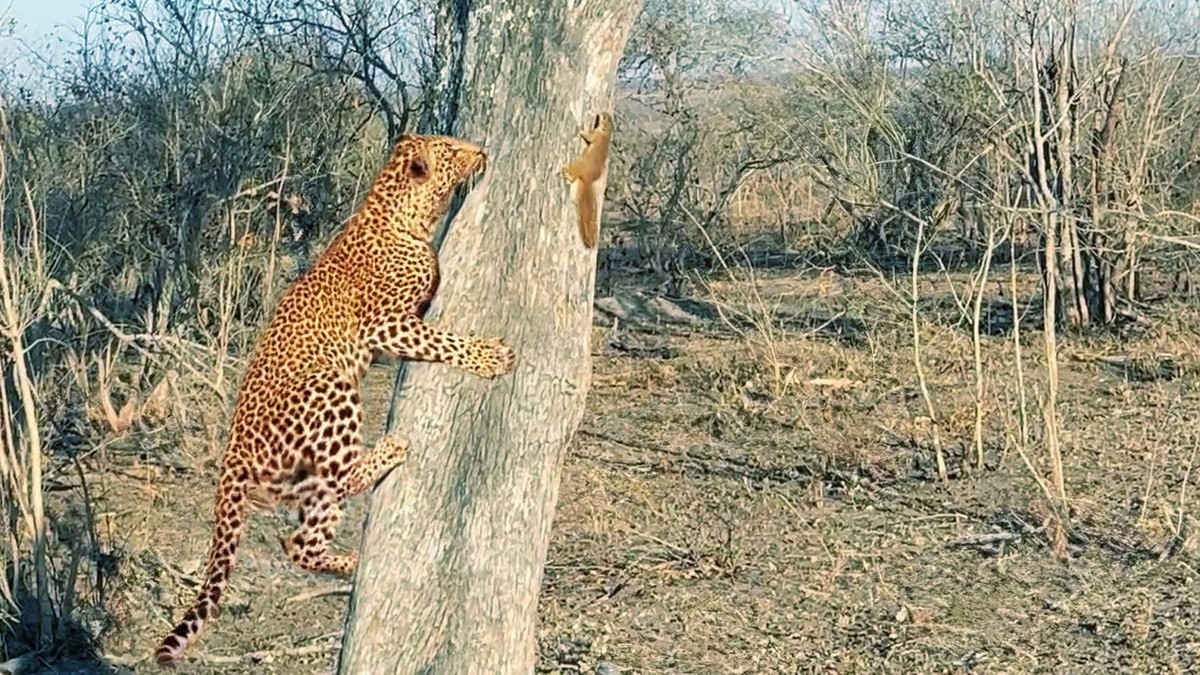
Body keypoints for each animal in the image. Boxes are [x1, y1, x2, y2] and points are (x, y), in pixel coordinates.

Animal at [153, 133, 516, 667]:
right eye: (450, 148)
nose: (481, 151)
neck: (403, 213)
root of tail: (231, 452)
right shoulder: (386, 325)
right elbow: (443, 341)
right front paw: (489, 355)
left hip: (302, 482)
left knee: (296, 541)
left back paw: (351, 559)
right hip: (331, 387)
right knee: (341, 483)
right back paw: (388, 452)